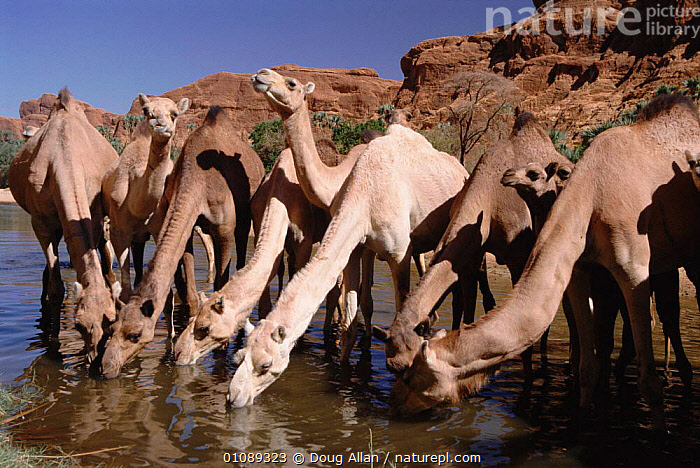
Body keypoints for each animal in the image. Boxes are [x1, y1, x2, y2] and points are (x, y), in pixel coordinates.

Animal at [8, 88, 120, 361]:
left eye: (111, 321)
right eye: (79, 325)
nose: (95, 359)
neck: (63, 158)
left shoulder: (93, 216)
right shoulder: (41, 222)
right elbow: (57, 288)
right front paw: (53, 345)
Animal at [102, 94, 189, 299]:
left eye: (174, 114)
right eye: (146, 110)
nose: (158, 123)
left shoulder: (159, 227)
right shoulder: (119, 230)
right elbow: (125, 290)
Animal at [227, 74, 470, 406]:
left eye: (266, 364)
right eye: (240, 356)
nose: (232, 397)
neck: (364, 191)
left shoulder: (399, 254)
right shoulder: (356, 249)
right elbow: (351, 324)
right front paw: (342, 380)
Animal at [391, 94, 700, 432]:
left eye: (410, 377)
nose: (394, 405)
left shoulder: (632, 270)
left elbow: (648, 380)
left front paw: (659, 433)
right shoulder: (577, 270)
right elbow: (587, 366)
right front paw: (581, 423)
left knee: (666, 315)